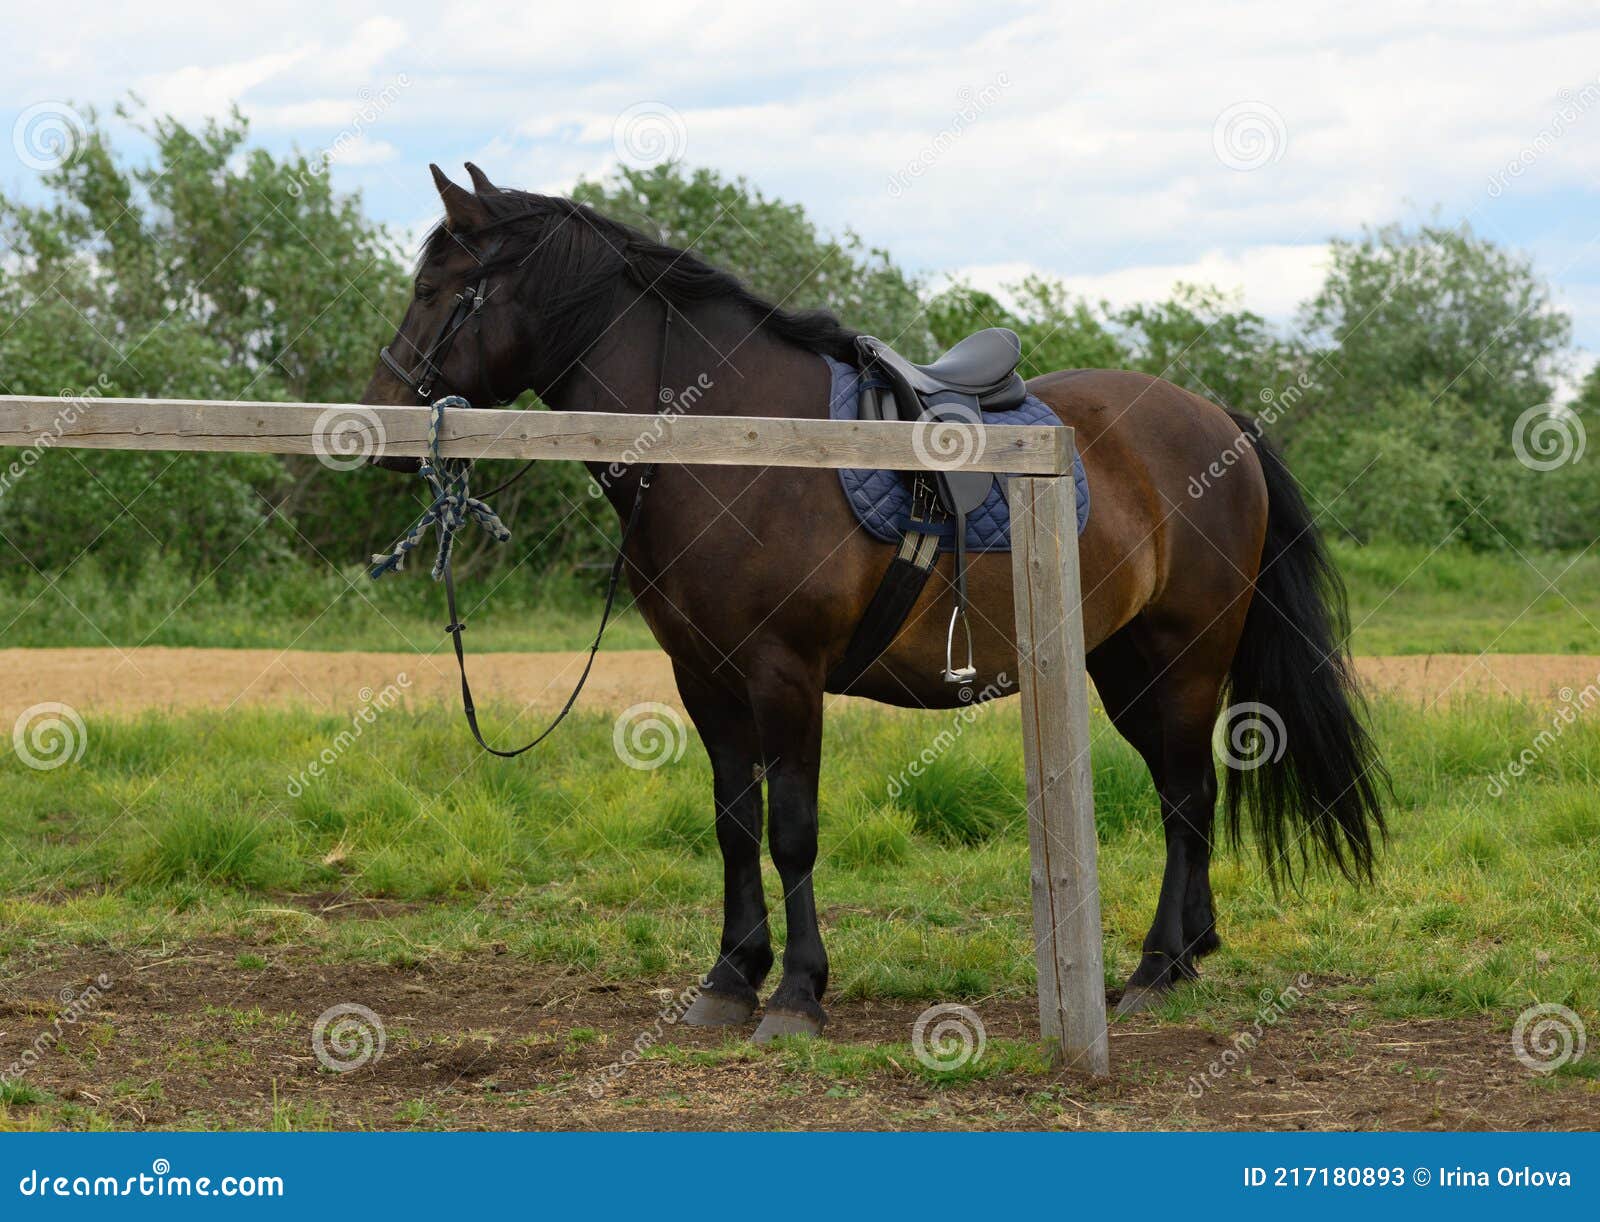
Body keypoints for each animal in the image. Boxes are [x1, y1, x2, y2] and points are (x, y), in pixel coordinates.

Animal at [361, 164, 1386, 1041]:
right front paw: (729, 979)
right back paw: (1187, 954)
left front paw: (797, 995)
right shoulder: (704, 678)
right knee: (1188, 796)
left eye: (441, 288)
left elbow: (792, 831)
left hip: (1185, 658)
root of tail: (1222, 423)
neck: (736, 445)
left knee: (1186, 795)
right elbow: (734, 824)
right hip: (1121, 664)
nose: (375, 423)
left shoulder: (784, 675)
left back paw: (1154, 968)